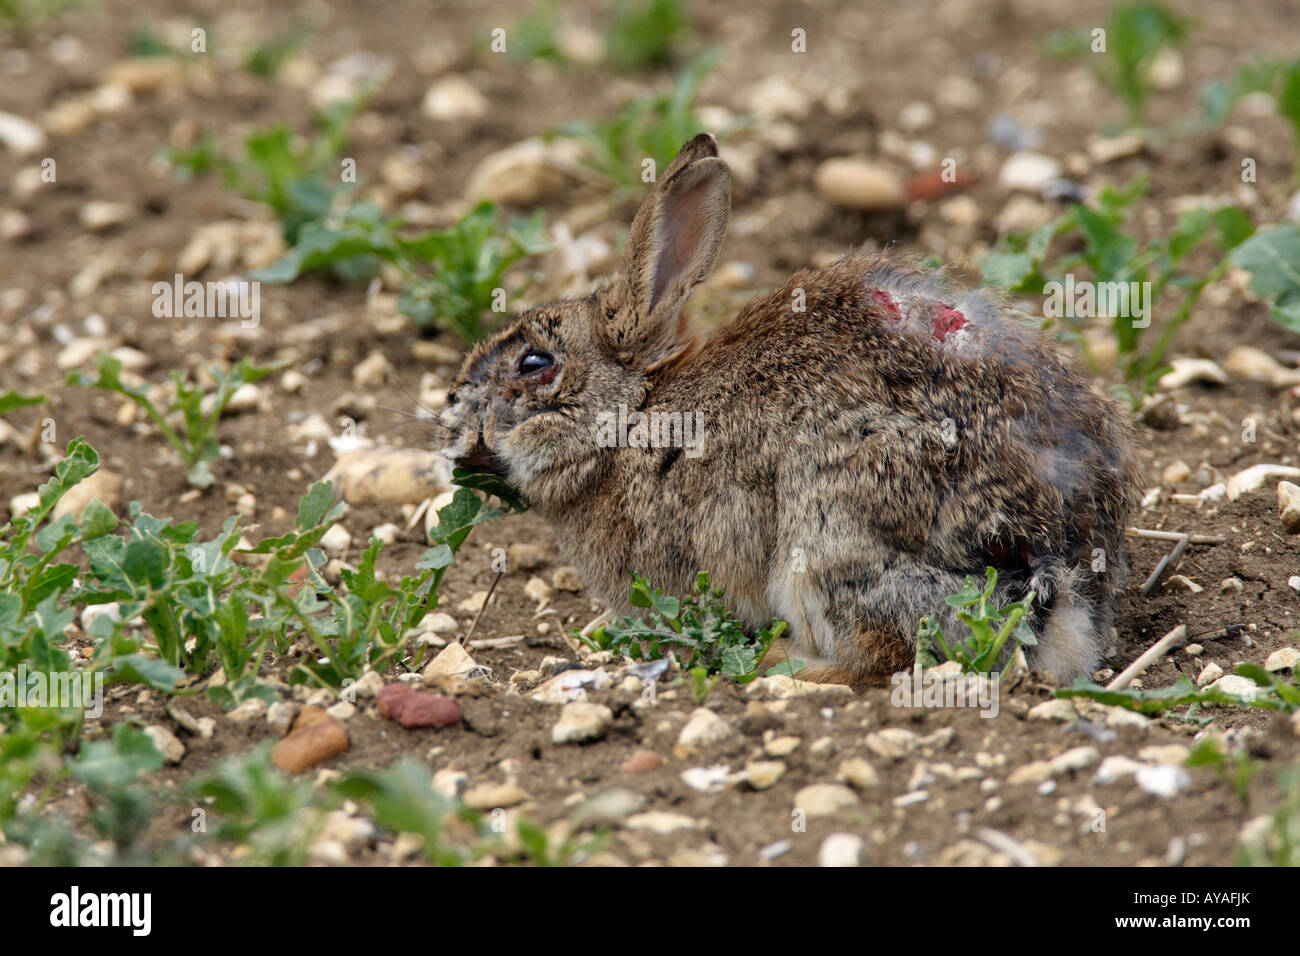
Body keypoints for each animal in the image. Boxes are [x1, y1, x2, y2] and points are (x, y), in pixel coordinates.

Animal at [440, 133, 1140, 688]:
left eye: (534, 364)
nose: (452, 412)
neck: (634, 415)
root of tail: (1057, 571)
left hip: (829, 534)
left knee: (881, 654)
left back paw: (783, 663)